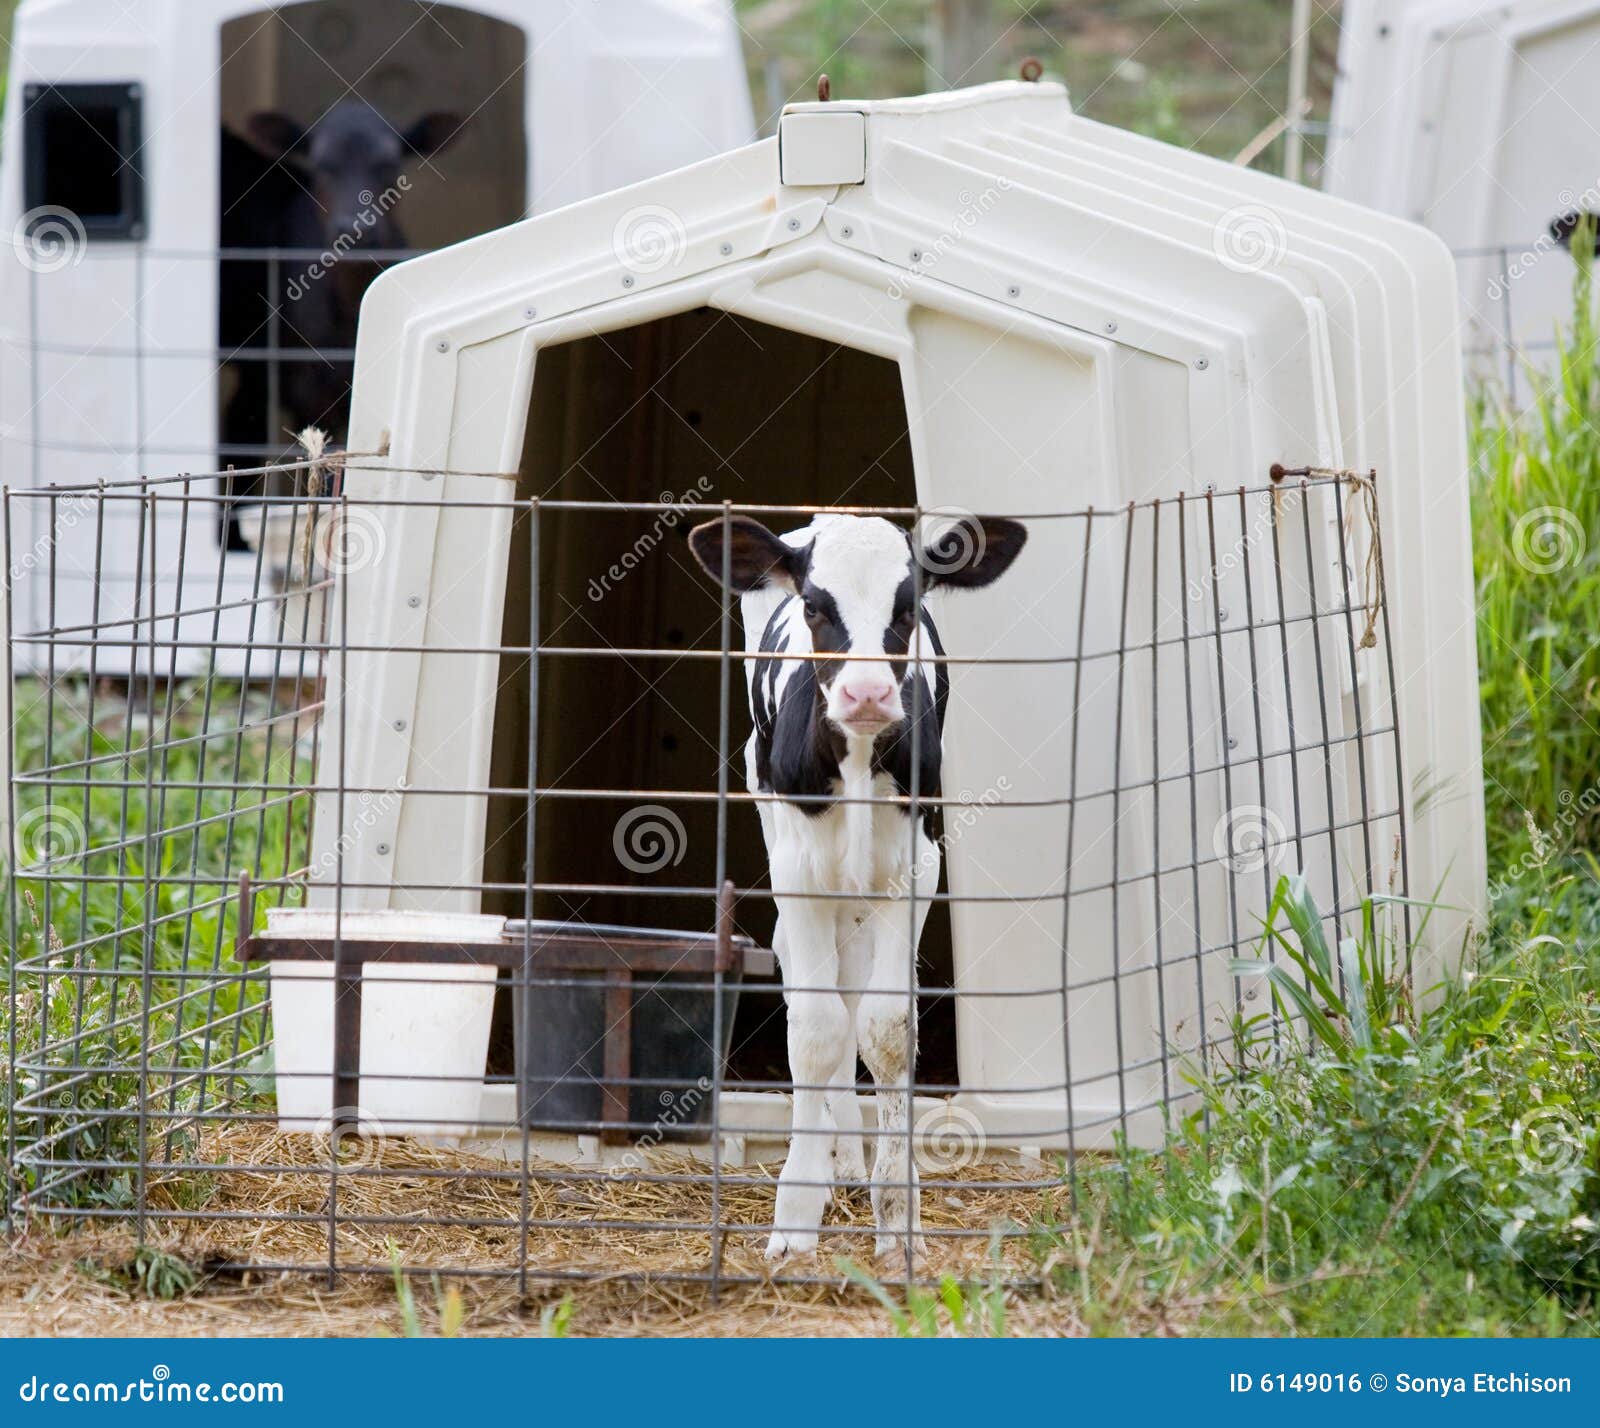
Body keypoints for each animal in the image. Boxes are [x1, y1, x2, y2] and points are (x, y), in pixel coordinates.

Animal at [688, 511, 1027, 1260]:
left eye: (908, 610)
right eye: (816, 607)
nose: (867, 693)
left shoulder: (916, 866)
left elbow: (886, 1026)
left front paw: (898, 1215)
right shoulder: (797, 869)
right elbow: (816, 1028)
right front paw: (794, 1218)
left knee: (851, 981)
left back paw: (847, 1160)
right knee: (808, 976)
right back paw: (831, 1160)